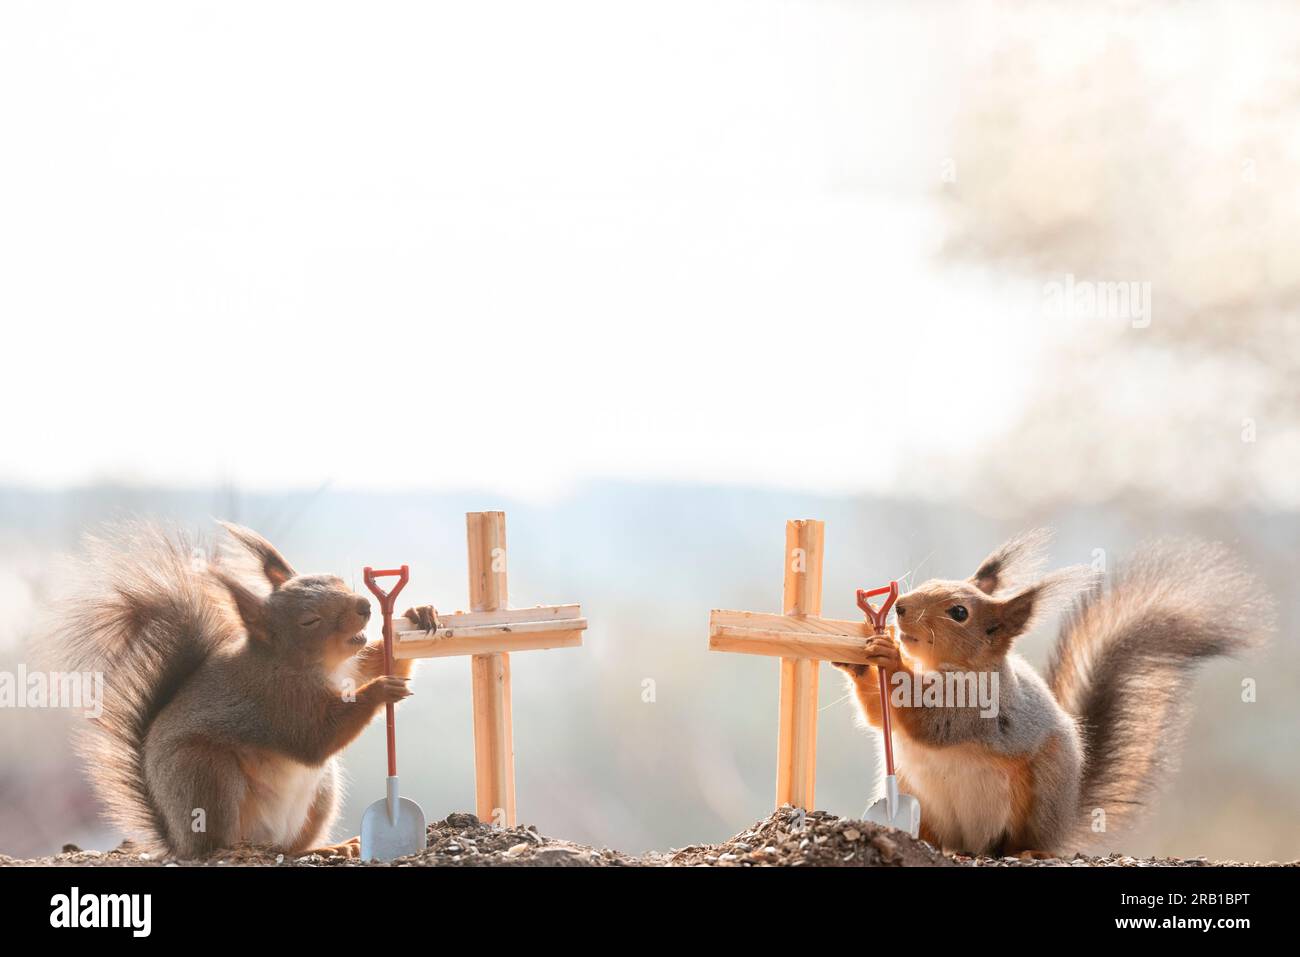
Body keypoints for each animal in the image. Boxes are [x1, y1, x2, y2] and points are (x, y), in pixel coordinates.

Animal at [44, 520, 439, 859]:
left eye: (336, 579)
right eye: (310, 621)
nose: (366, 605)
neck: (309, 665)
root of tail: (180, 843)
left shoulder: (350, 669)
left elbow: (374, 662)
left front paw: (418, 614)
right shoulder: (276, 701)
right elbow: (315, 738)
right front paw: (380, 689)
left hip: (322, 791)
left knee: (291, 849)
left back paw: (329, 848)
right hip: (207, 776)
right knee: (222, 842)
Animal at [832, 530, 1273, 858]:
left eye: (959, 613)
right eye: (927, 584)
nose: (900, 608)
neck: (952, 669)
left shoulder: (976, 707)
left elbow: (928, 720)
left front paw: (890, 657)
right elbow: (878, 714)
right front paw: (861, 660)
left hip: (1038, 799)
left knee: (1020, 843)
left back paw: (1029, 851)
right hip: (919, 799)